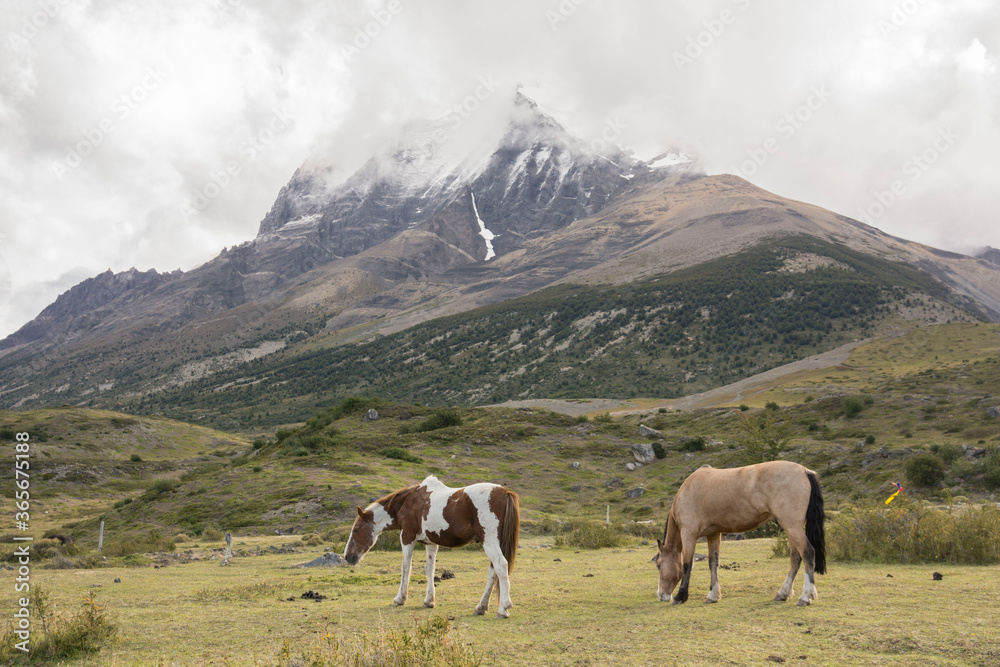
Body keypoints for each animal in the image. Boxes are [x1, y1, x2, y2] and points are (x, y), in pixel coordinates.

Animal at [344, 475, 520, 618]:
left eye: (356, 529)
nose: (347, 556)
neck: (409, 501)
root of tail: (504, 492)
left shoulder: (407, 537)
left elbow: (405, 567)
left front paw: (400, 599)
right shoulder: (430, 542)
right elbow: (429, 568)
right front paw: (429, 601)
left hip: (489, 541)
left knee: (501, 566)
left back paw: (503, 609)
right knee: (493, 571)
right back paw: (481, 607)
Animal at [654, 461, 826, 606]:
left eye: (658, 565)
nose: (661, 595)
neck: (688, 489)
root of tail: (805, 471)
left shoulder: (689, 534)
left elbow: (687, 564)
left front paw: (680, 597)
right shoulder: (713, 534)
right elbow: (713, 563)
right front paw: (713, 595)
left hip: (792, 526)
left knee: (808, 553)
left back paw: (805, 597)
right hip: (791, 528)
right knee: (796, 558)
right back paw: (783, 593)